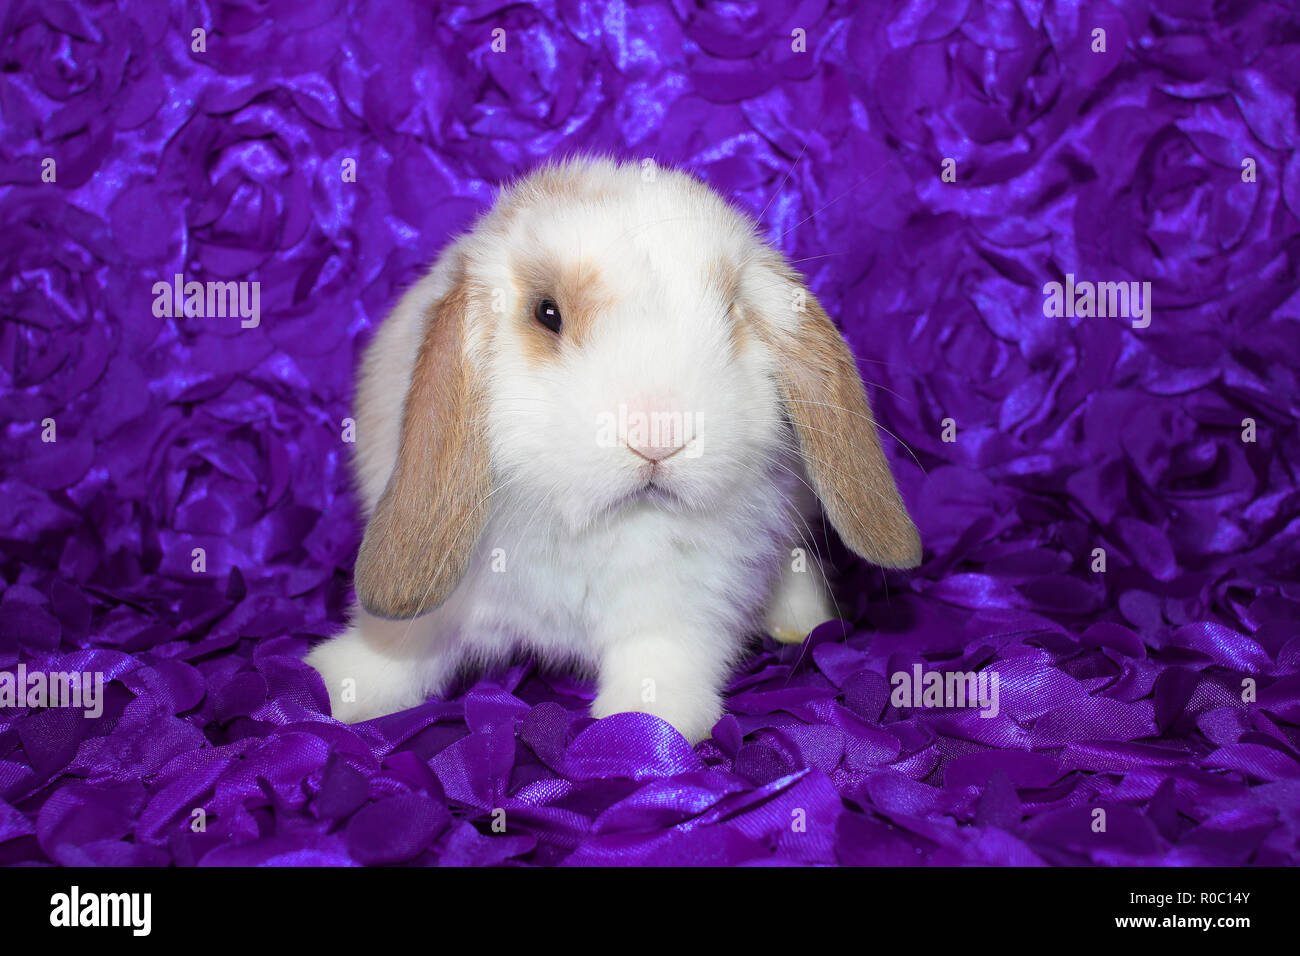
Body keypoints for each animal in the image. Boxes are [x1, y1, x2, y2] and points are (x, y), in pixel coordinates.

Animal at [305, 156, 921, 743]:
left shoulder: (685, 601)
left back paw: (799, 619)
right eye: (547, 313)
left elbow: (661, 655)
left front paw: (647, 725)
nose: (658, 434)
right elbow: (400, 641)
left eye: (732, 313)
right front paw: (338, 685)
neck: (598, 522)